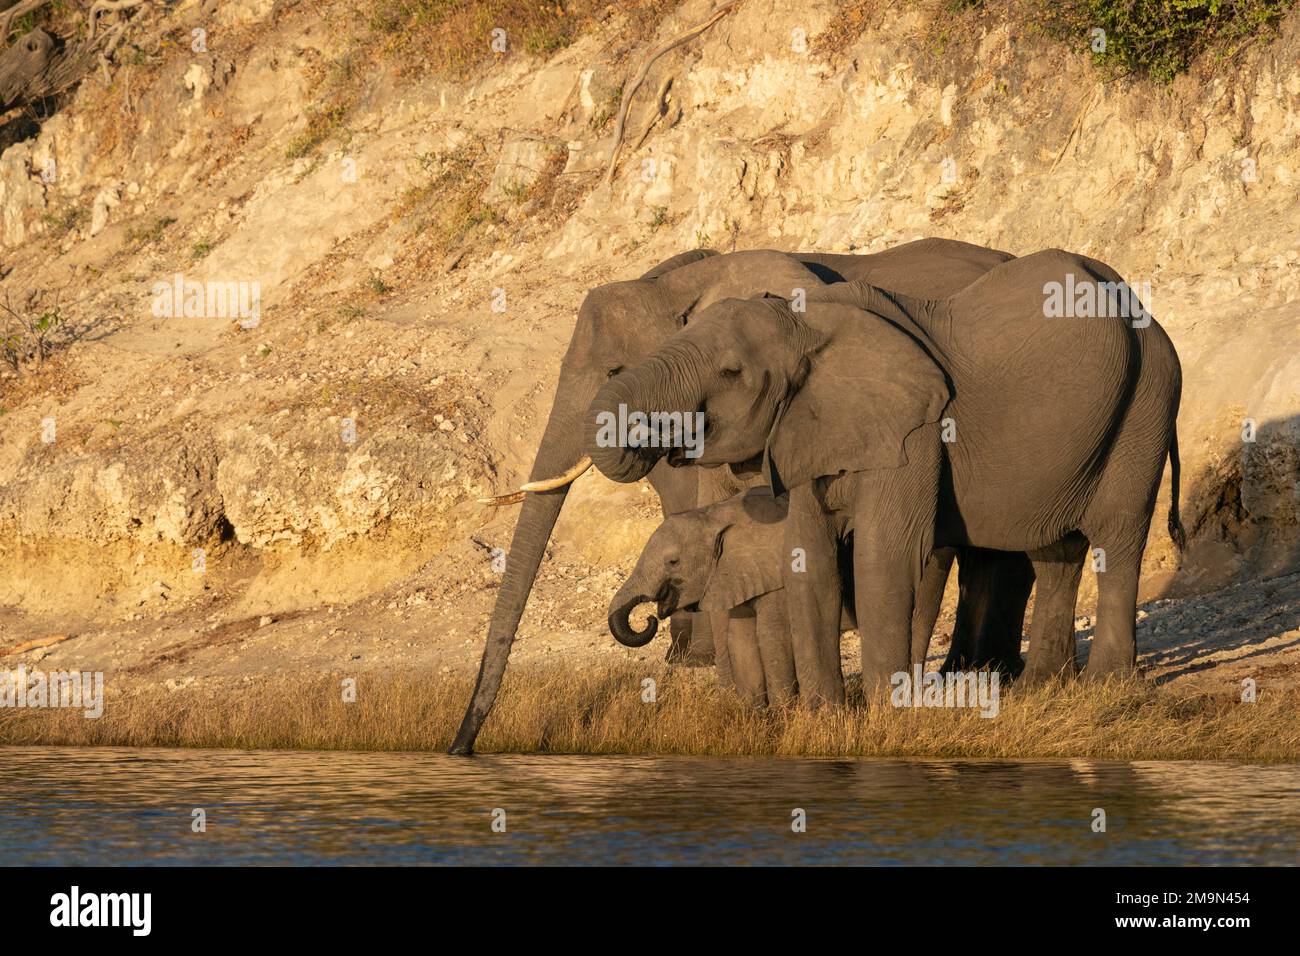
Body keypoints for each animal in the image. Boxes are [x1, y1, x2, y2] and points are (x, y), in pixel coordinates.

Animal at [583, 248, 1184, 705]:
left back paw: (1107, 688)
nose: (649, 441)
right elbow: (809, 557)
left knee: (1116, 538)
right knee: (1055, 551)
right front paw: (824, 718)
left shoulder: (918, 429)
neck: (807, 321)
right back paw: (1042, 689)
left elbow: (883, 553)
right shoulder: (812, 429)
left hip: (1147, 403)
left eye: (731, 372)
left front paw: (883, 714)